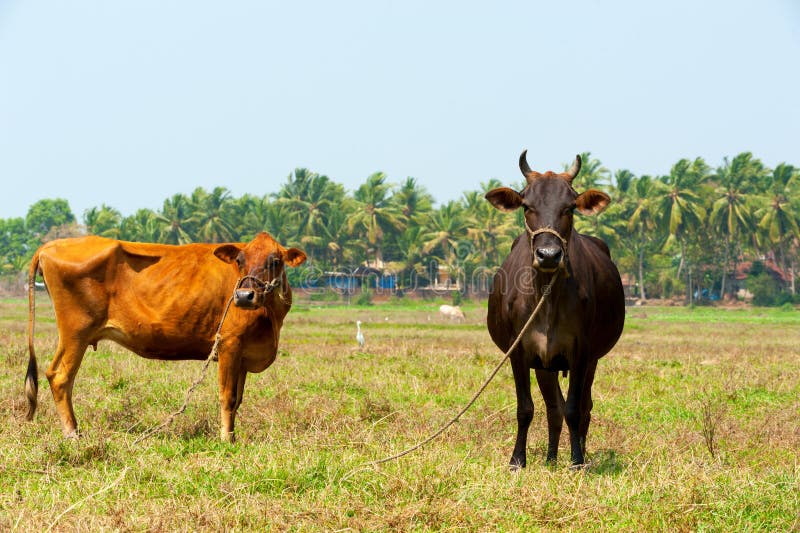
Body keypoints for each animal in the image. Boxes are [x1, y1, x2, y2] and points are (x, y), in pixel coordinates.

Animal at [24, 232, 306, 442]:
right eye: (239, 260)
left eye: (275, 261)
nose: (244, 296)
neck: (271, 319)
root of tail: (51, 245)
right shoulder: (229, 344)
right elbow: (227, 397)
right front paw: (226, 440)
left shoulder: (244, 356)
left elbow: (238, 400)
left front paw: (233, 435)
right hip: (76, 332)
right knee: (61, 377)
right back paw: (73, 433)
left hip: (74, 335)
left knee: (59, 376)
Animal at [485, 151, 625, 468]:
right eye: (527, 206)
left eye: (569, 207)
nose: (549, 255)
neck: (546, 297)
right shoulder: (520, 352)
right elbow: (526, 408)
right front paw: (517, 460)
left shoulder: (582, 352)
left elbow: (574, 408)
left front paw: (577, 460)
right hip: (544, 366)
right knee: (553, 408)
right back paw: (550, 458)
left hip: (588, 360)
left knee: (583, 406)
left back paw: (576, 451)